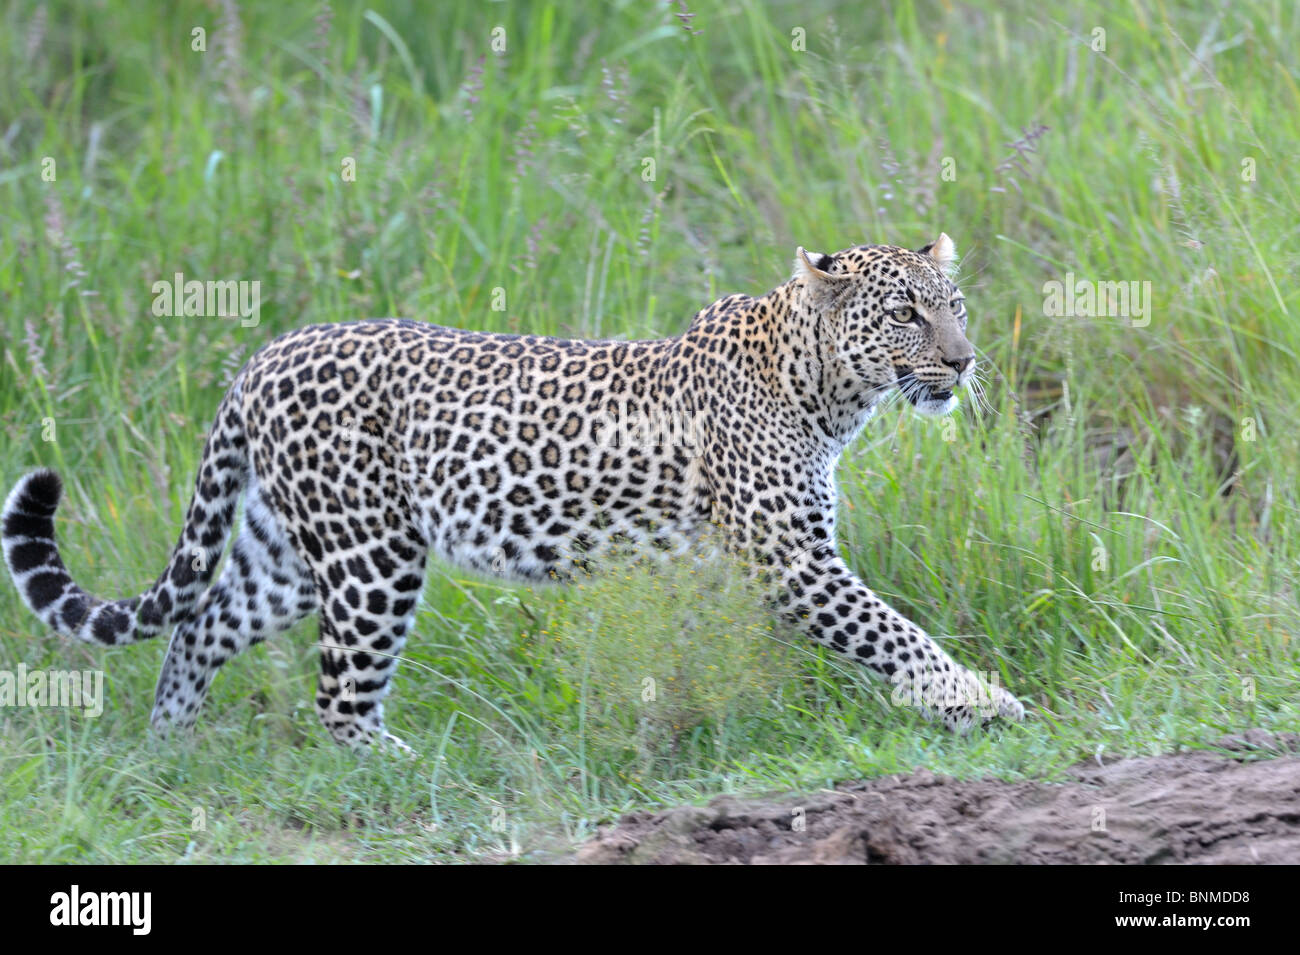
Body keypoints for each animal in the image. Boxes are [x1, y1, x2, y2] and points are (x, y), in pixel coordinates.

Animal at [2, 233, 1025, 750]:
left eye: (955, 305)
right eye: (906, 313)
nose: (964, 361)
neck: (825, 390)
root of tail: (263, 354)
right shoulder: (793, 560)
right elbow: (895, 629)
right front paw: (979, 700)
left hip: (291, 551)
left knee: (202, 623)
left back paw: (166, 747)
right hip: (372, 559)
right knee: (338, 694)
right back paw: (401, 772)